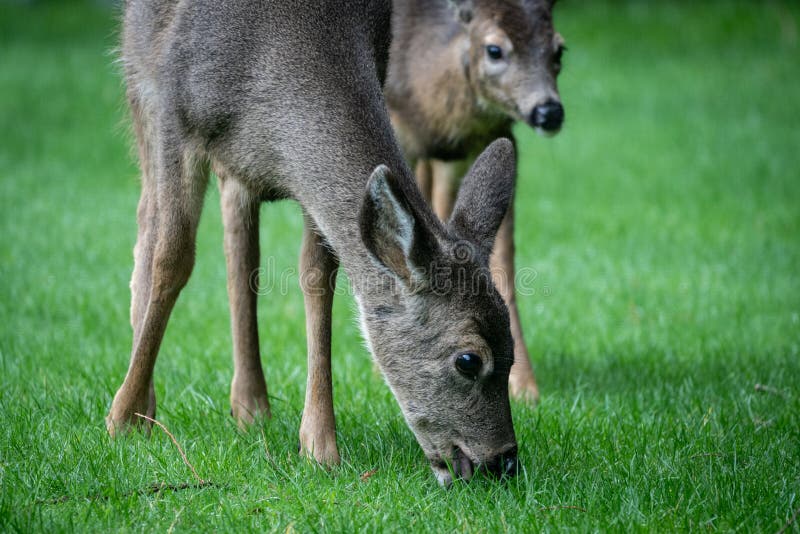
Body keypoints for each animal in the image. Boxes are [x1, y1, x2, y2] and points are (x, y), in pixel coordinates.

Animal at [107, 0, 521, 486]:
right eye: (468, 360)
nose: (504, 461)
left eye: (512, 352)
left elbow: (318, 280)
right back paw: (147, 399)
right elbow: (172, 257)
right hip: (138, 81)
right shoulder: (176, 111)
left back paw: (250, 406)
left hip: (232, 167)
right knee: (148, 225)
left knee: (240, 250)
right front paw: (124, 418)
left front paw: (319, 446)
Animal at [385, 0, 566, 404]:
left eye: (560, 49)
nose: (549, 111)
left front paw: (525, 387)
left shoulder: (493, 142)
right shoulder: (403, 135)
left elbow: (504, 259)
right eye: (494, 49)